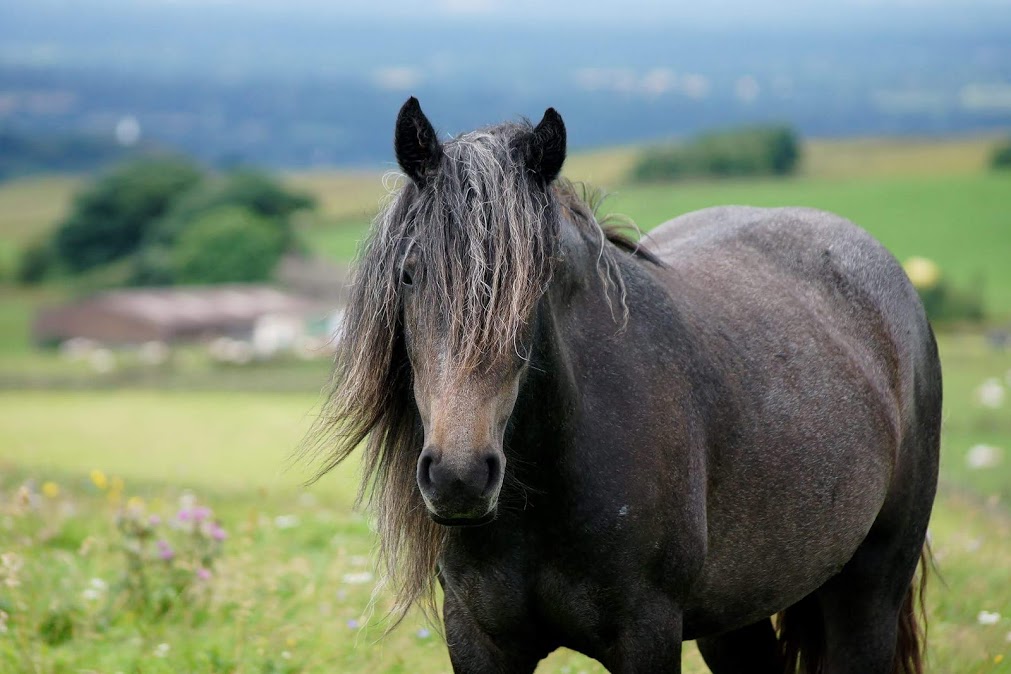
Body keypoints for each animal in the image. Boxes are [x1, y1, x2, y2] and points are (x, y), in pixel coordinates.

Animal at [305, 97, 941, 673]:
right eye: (409, 275)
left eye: (538, 282)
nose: (459, 478)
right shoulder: (478, 639)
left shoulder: (647, 634)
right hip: (736, 618)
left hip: (869, 589)